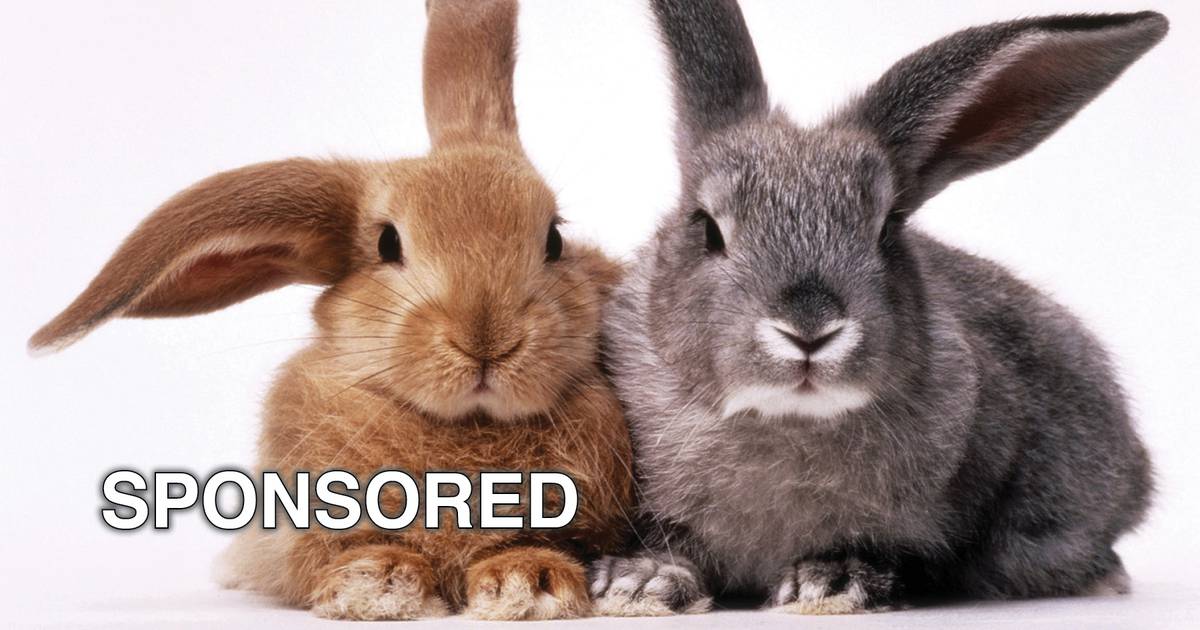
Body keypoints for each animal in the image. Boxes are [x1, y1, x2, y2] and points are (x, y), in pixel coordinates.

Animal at [28, 0, 634, 621]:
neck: (467, 427)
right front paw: (376, 581)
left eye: (554, 240)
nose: (487, 339)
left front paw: (528, 581)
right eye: (388, 244)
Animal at [589, 0, 1165, 616]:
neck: (789, 420)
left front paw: (833, 583)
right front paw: (639, 585)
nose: (809, 329)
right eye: (708, 229)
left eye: (887, 229)